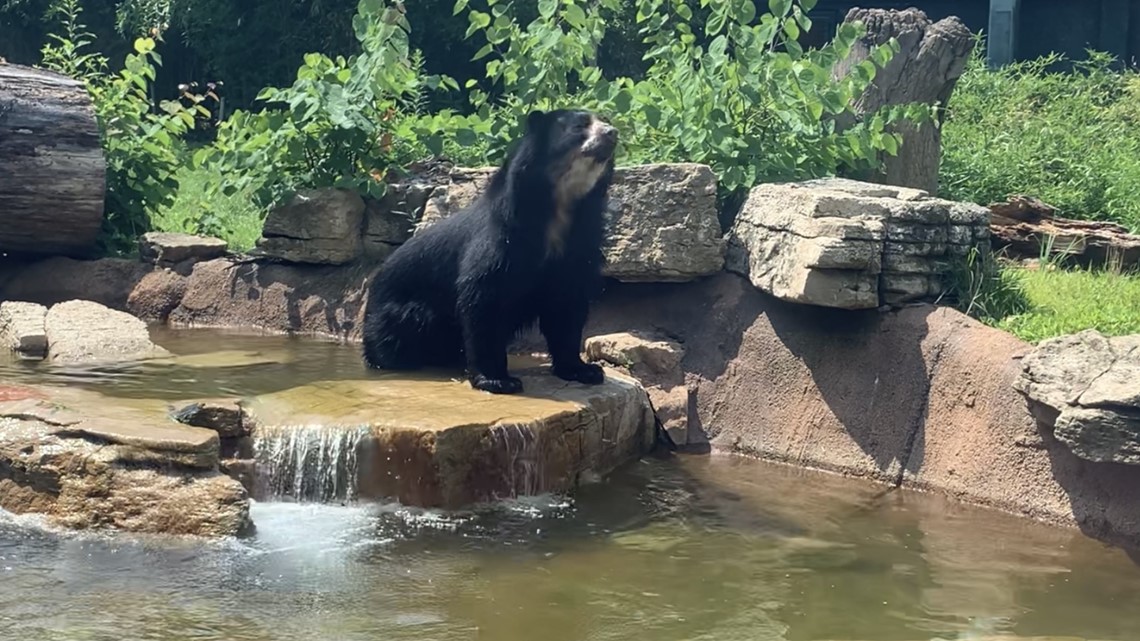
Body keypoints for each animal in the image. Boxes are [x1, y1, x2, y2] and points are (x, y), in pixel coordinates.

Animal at [361, 108, 619, 395]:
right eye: (579, 126)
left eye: (606, 121)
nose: (612, 133)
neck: (560, 208)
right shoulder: (500, 241)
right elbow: (485, 300)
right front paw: (498, 380)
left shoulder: (578, 247)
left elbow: (567, 307)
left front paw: (584, 370)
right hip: (400, 314)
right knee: (403, 332)